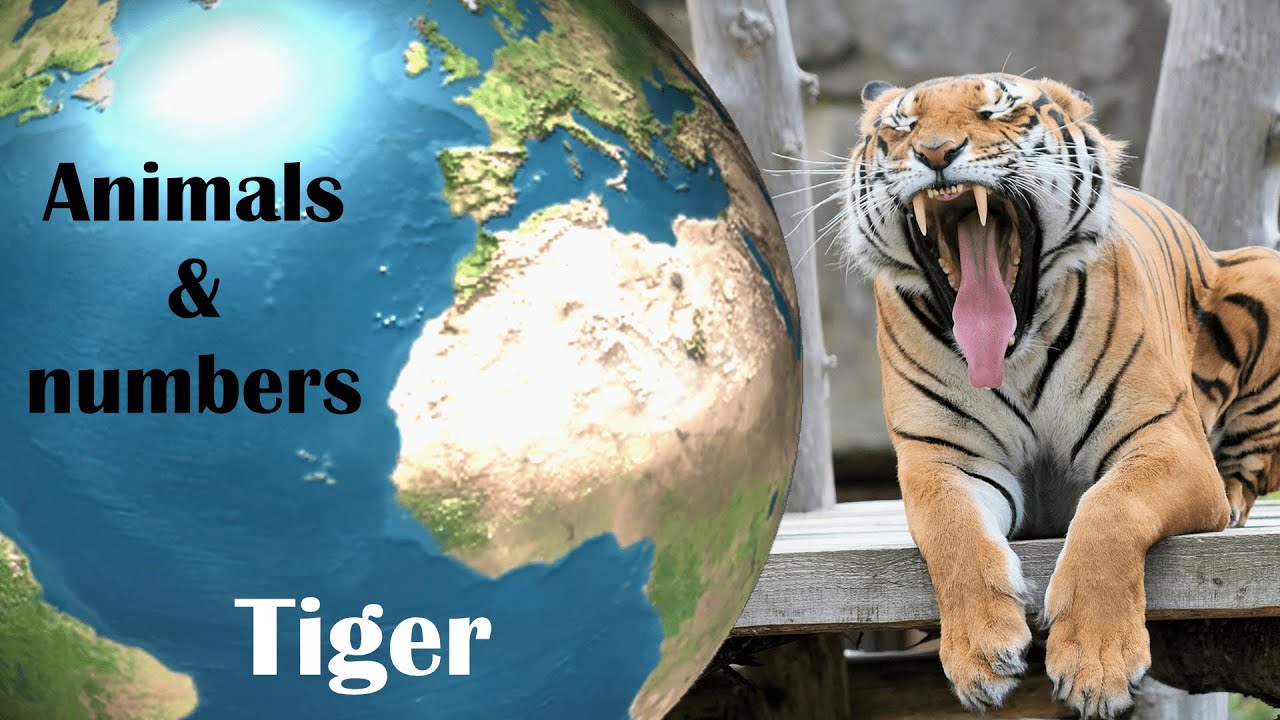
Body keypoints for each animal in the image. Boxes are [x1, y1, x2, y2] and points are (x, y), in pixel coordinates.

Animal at [836, 72, 1280, 719]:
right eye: (902, 124)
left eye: (997, 109)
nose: (936, 153)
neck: (1012, 355)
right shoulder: (943, 460)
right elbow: (953, 531)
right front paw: (982, 656)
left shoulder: (1164, 441)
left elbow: (1109, 511)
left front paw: (1096, 668)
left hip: (1262, 268)